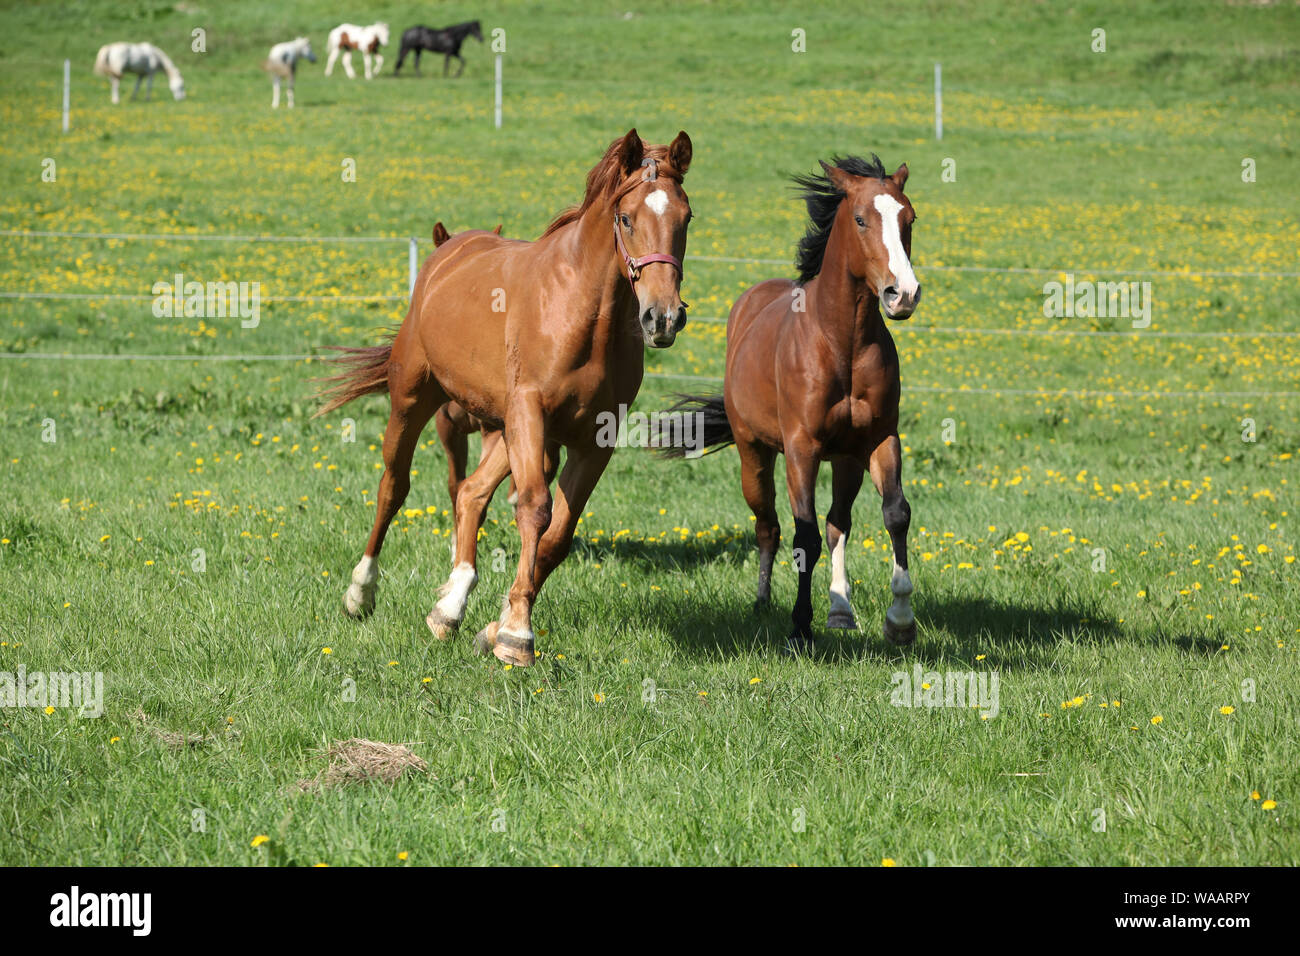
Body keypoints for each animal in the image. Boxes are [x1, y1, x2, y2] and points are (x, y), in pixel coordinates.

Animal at [317, 129, 694, 667]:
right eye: (626, 218)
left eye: (685, 217)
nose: (663, 318)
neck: (580, 314)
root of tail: (450, 250)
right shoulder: (529, 414)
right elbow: (534, 509)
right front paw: (517, 634)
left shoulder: (594, 439)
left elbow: (557, 536)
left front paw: (497, 626)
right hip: (415, 399)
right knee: (394, 485)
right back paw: (360, 593)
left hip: (504, 430)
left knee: (471, 493)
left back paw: (449, 607)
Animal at [662, 155, 921, 653]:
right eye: (861, 220)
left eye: (909, 220)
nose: (903, 294)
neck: (843, 343)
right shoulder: (802, 449)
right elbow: (805, 535)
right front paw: (800, 627)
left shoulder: (881, 439)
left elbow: (895, 515)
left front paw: (900, 621)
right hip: (755, 455)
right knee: (769, 526)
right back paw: (763, 602)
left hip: (847, 460)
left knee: (839, 522)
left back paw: (841, 610)